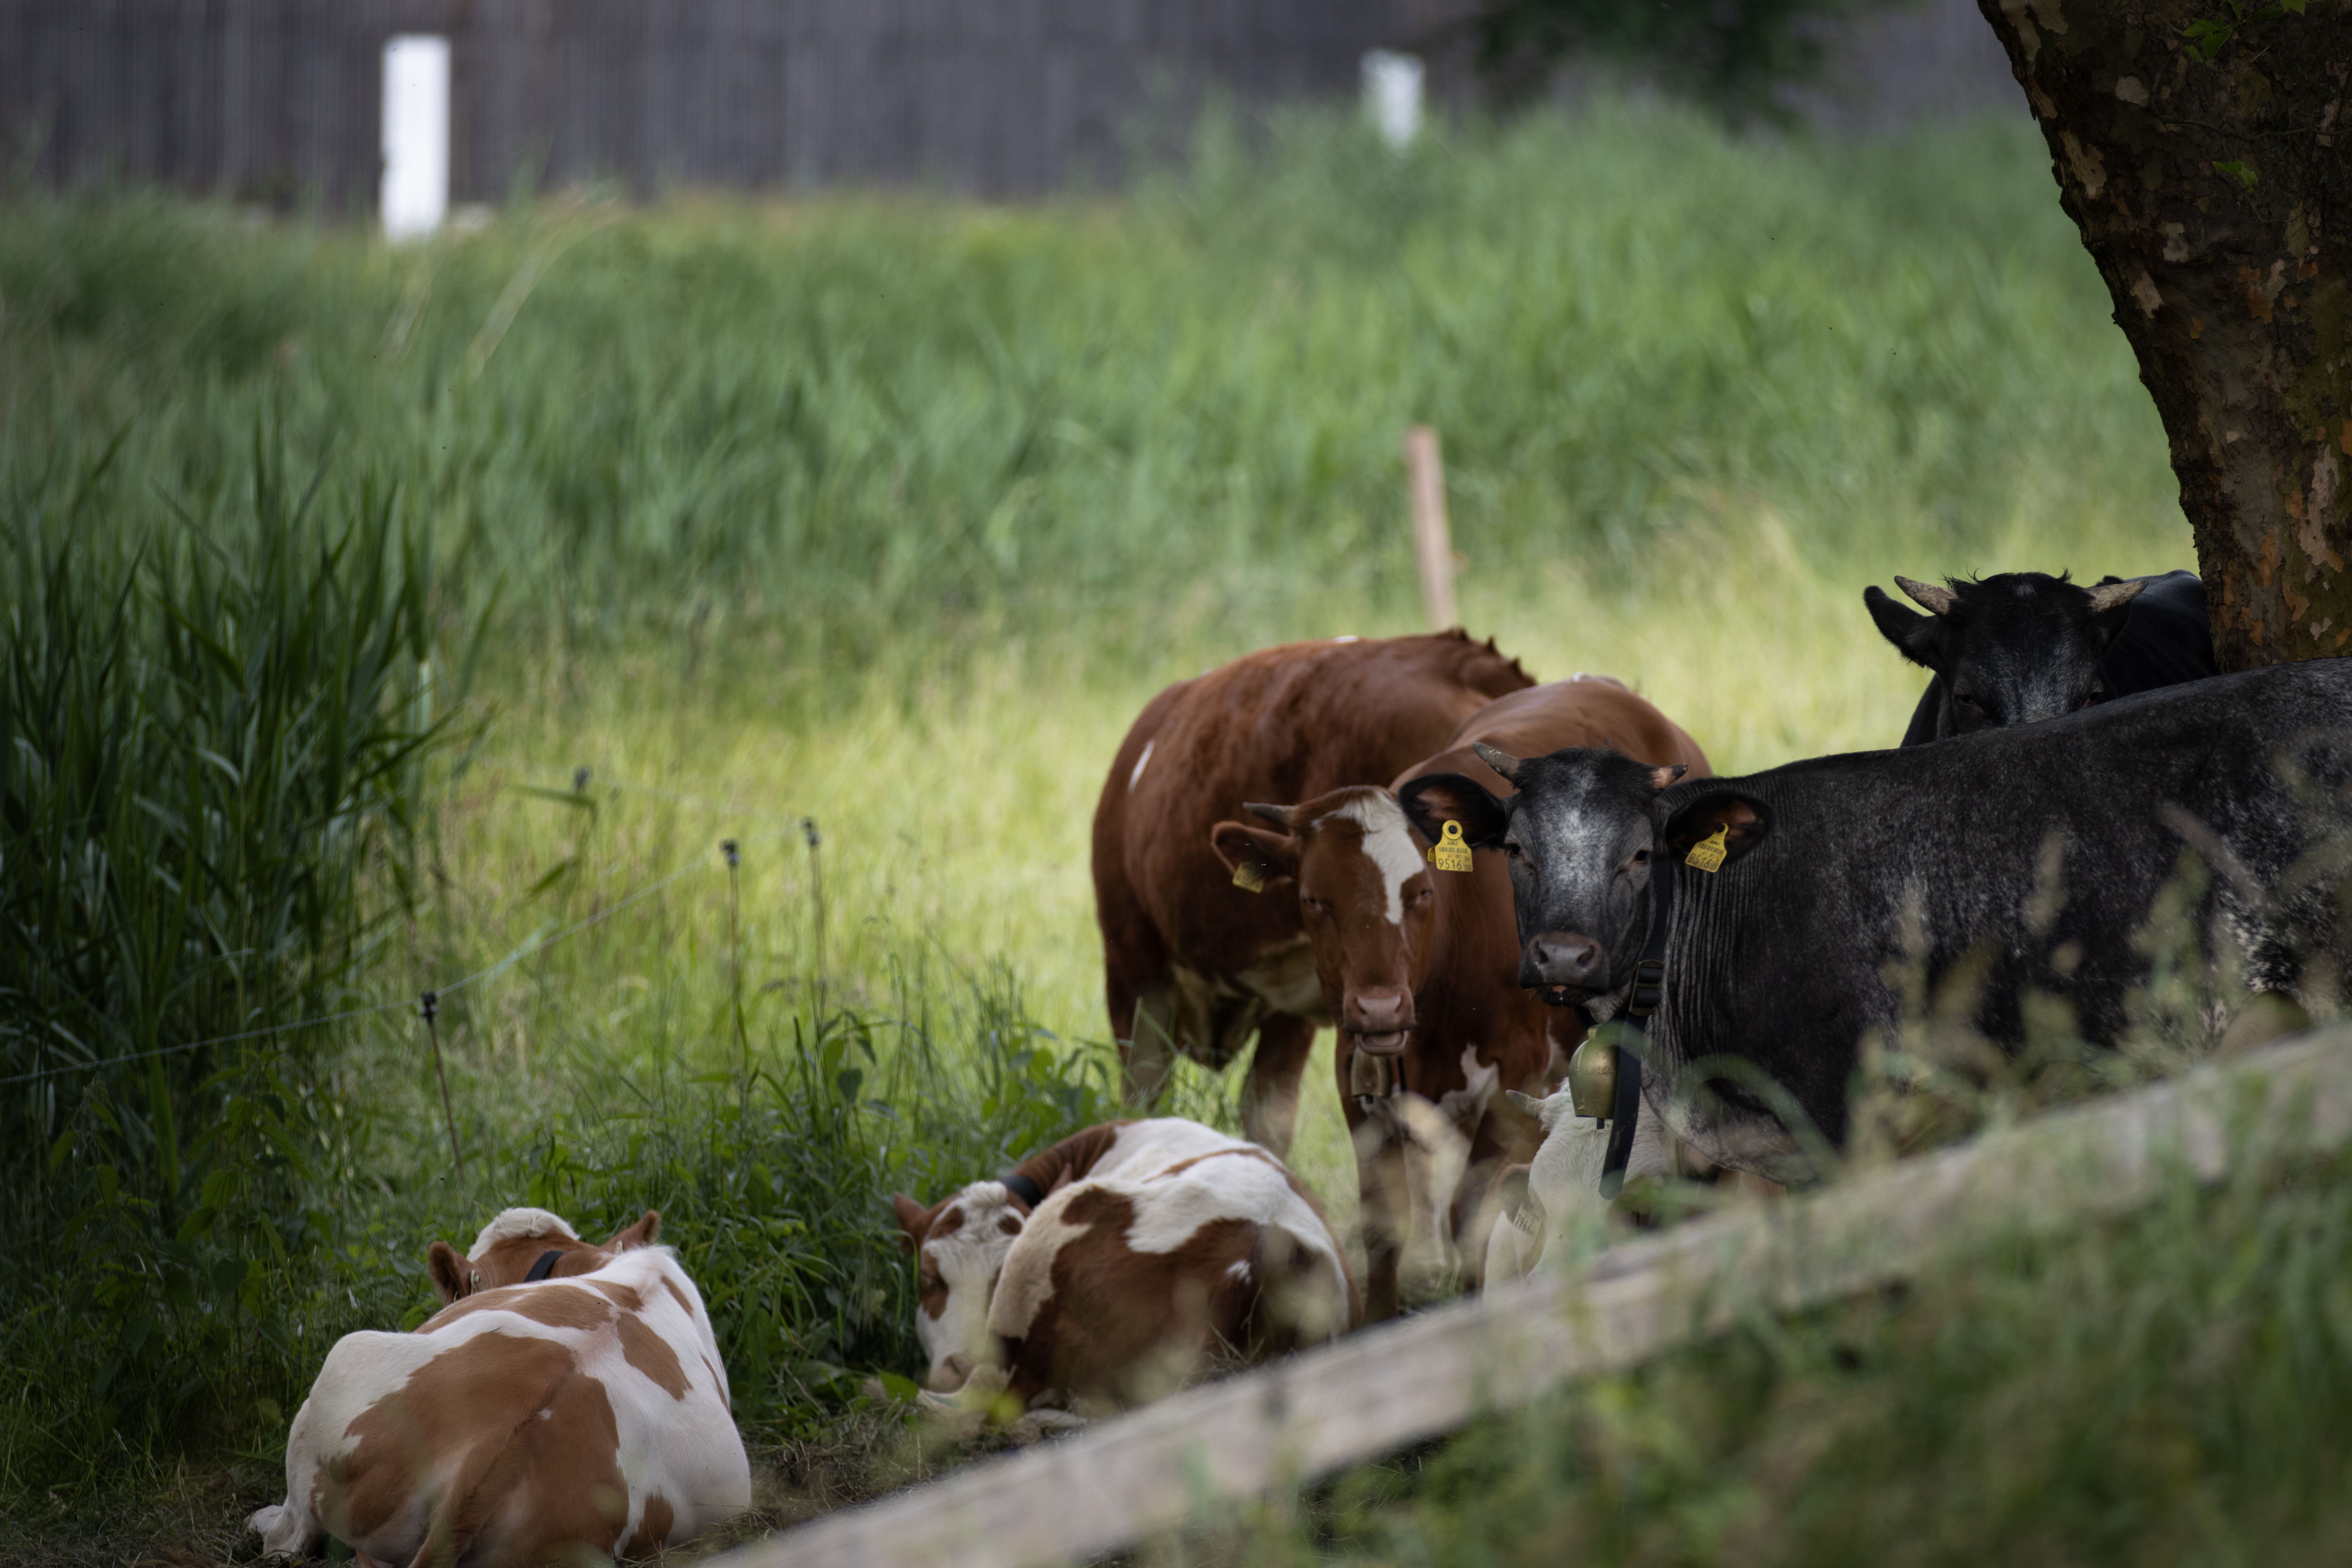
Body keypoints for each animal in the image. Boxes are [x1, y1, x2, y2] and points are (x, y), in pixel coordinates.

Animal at [1207, 675, 1709, 1319]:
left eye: (1422, 892)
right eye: (1314, 900)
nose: (1379, 1009)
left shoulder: (1511, 1084)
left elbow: (1474, 1213)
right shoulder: (1359, 1083)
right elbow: (1384, 1227)